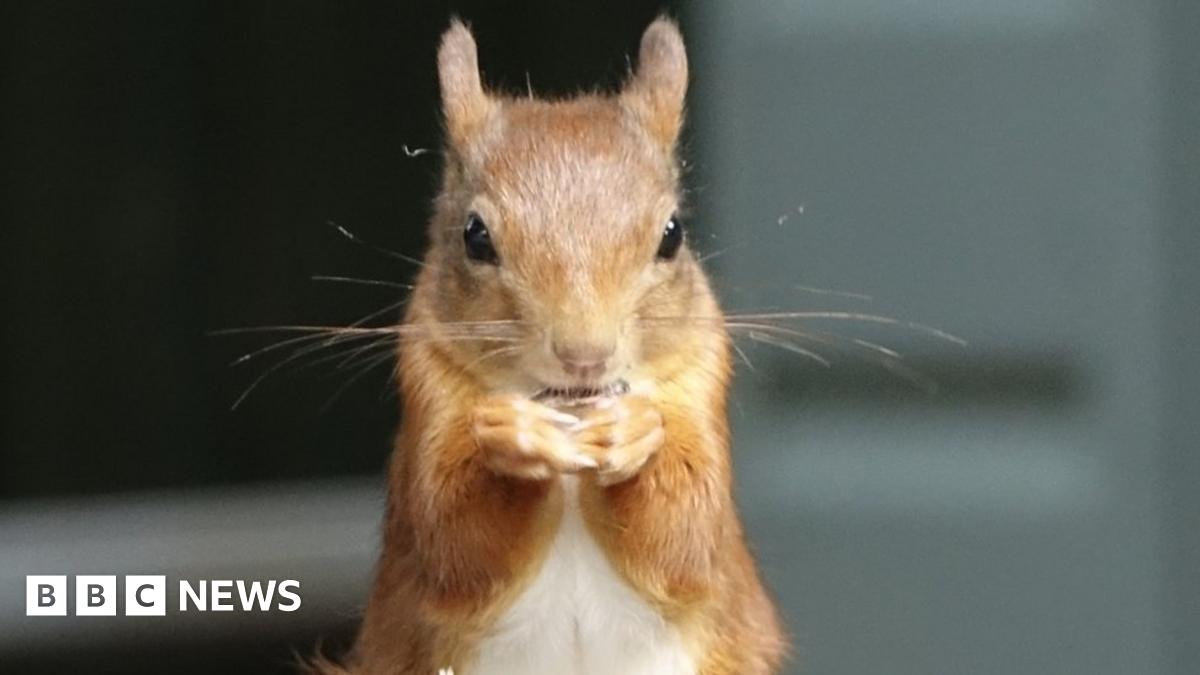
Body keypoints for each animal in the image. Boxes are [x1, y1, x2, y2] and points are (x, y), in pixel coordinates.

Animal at [315, 16, 786, 675]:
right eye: (475, 236)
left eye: (673, 234)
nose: (584, 354)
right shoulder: (428, 388)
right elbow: (451, 541)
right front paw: (512, 439)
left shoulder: (700, 379)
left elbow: (688, 533)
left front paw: (632, 432)